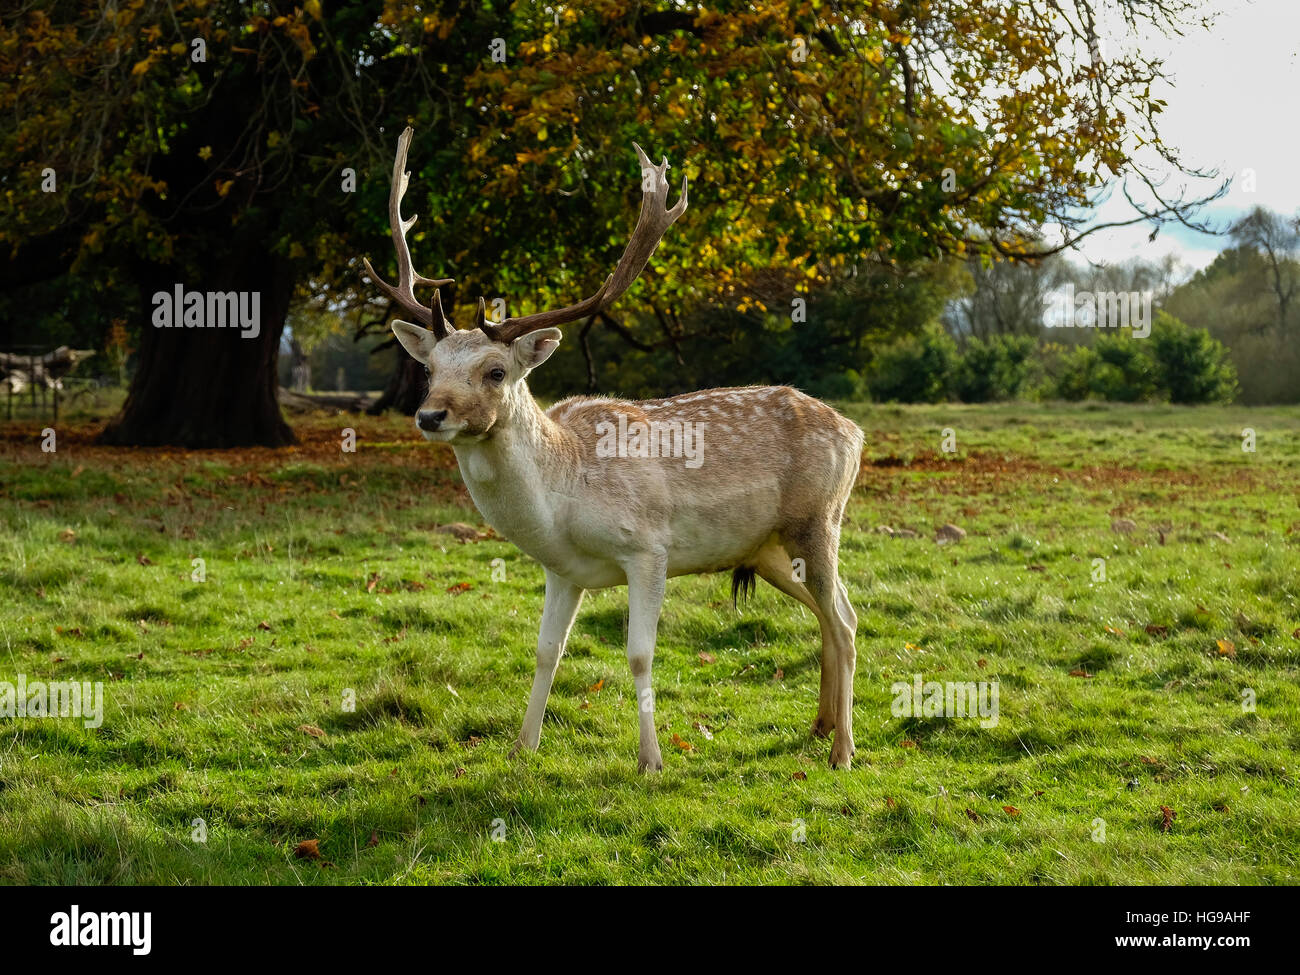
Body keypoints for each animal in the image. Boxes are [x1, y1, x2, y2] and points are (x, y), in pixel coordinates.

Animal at [364, 127, 864, 771]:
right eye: (430, 369)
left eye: (496, 371)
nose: (430, 414)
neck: (564, 500)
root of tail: (854, 431)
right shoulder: (561, 571)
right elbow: (546, 651)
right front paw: (522, 750)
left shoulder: (649, 548)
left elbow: (639, 654)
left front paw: (651, 761)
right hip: (768, 548)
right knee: (825, 614)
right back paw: (820, 726)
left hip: (819, 520)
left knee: (846, 618)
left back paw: (843, 751)